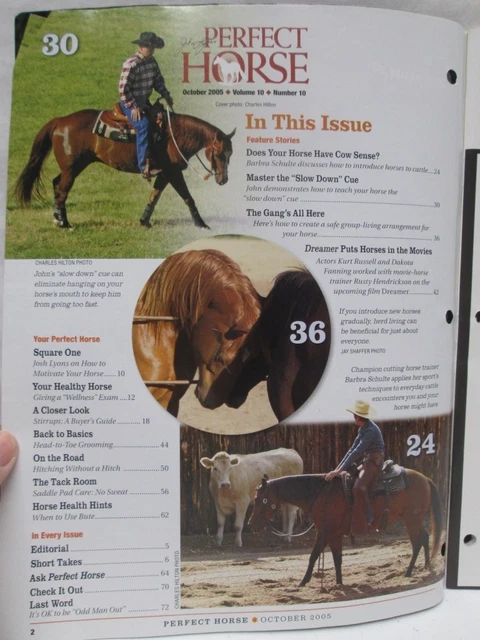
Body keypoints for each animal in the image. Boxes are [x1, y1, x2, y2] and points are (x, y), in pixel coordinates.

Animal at [15, 102, 235, 230]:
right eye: (218, 153)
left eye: (230, 154)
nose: (223, 180)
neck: (175, 134)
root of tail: (60, 121)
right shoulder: (173, 172)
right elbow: (187, 197)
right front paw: (202, 224)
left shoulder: (164, 173)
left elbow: (154, 196)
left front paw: (144, 221)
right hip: (71, 169)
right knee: (62, 190)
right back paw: (64, 223)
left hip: (75, 167)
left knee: (56, 183)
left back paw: (57, 218)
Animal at [248, 471, 442, 587]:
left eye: (259, 499)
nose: (250, 525)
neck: (321, 494)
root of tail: (425, 478)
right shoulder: (334, 535)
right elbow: (337, 559)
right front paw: (339, 583)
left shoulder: (324, 533)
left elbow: (313, 556)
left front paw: (303, 581)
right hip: (414, 520)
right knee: (425, 538)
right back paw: (426, 566)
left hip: (412, 520)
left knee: (417, 543)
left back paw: (408, 572)